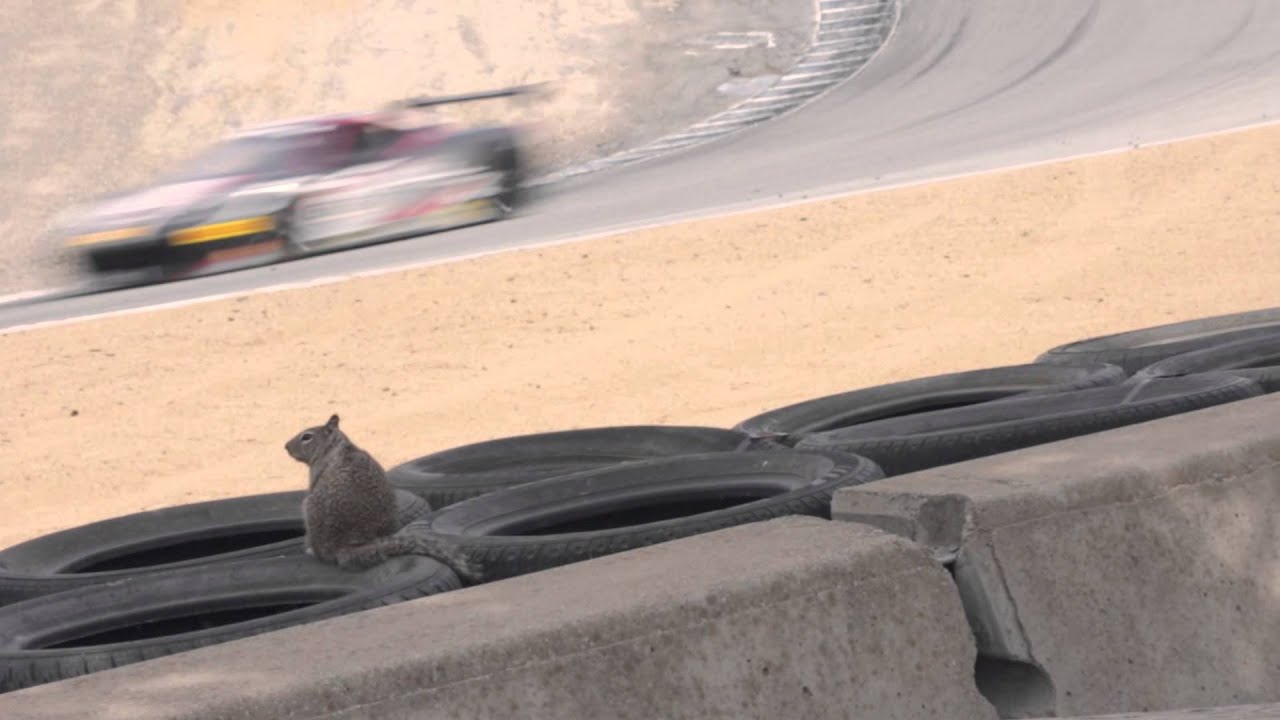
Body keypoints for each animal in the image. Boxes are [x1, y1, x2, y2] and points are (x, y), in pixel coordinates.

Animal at [284, 414, 482, 583]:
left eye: (307, 436)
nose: (286, 446)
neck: (337, 447)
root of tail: (347, 545)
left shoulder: (316, 472)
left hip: (309, 508)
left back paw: (311, 550)